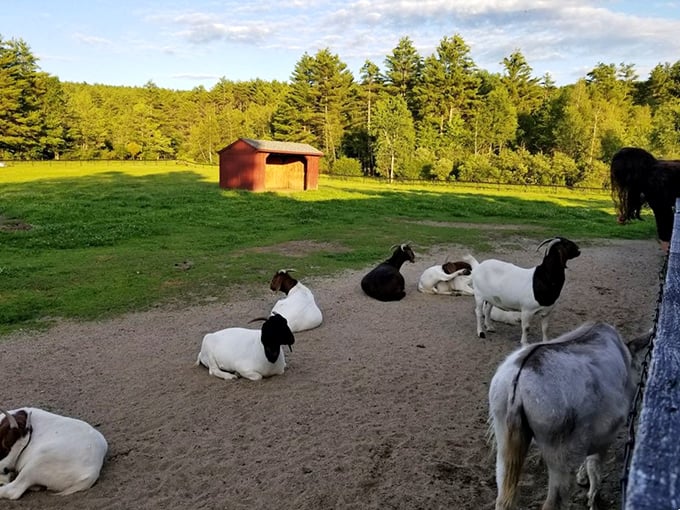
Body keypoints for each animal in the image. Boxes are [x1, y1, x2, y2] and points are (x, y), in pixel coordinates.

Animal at [489, 322, 651, 510]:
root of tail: (519, 380)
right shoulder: (606, 435)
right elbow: (595, 468)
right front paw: (594, 498)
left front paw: (583, 478)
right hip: (560, 454)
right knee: (553, 502)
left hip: (503, 436)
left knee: (502, 497)